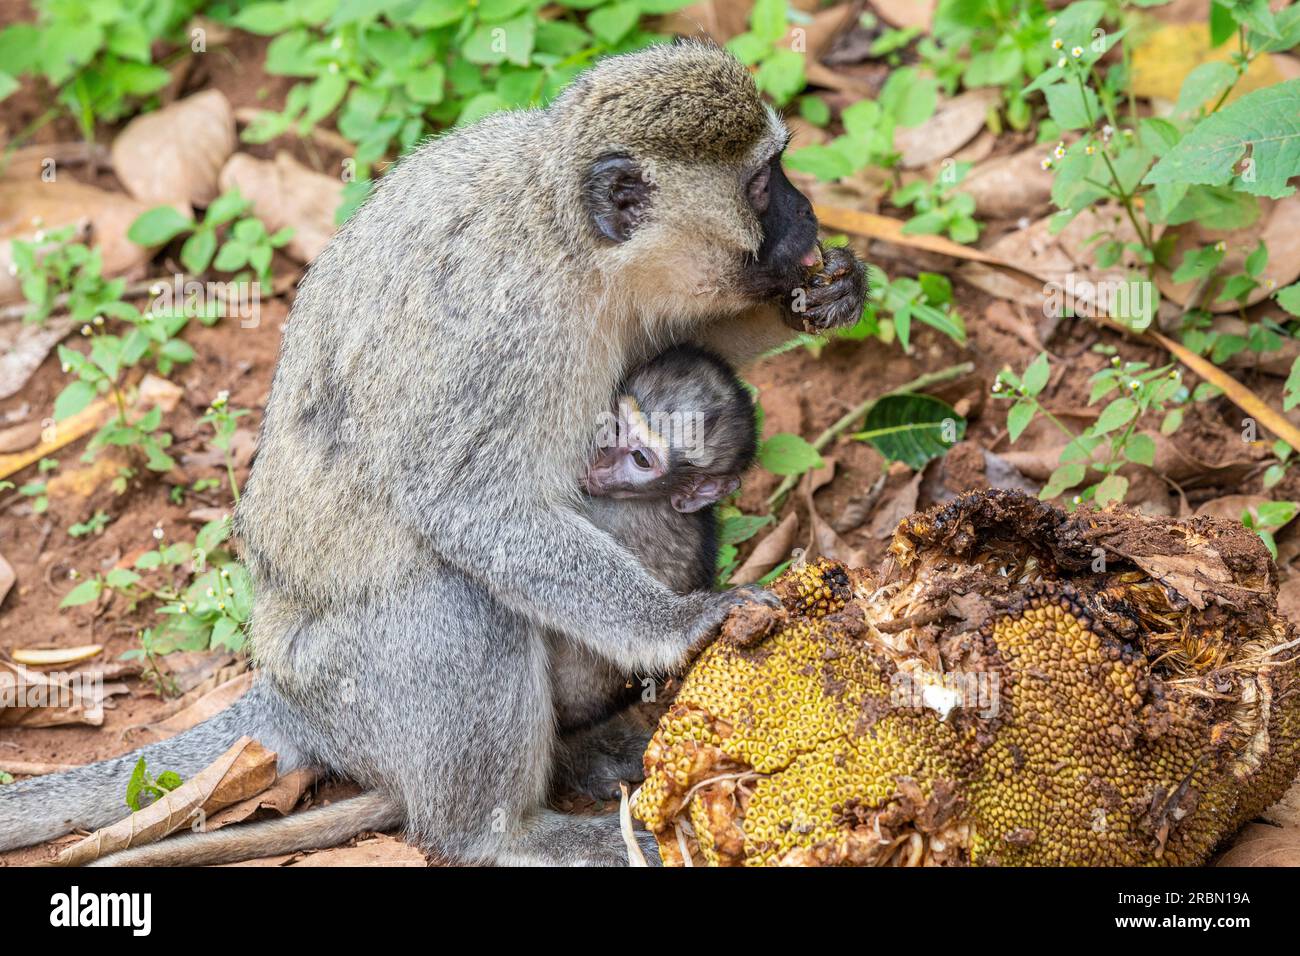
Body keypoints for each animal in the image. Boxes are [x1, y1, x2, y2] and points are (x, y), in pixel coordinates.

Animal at [0, 40, 866, 866]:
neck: (571, 240)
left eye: (780, 170)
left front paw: (824, 299)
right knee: (464, 601)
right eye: (763, 185)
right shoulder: (510, 327)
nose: (806, 215)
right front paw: (680, 623)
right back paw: (503, 836)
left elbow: (690, 350)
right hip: (359, 692)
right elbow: (467, 507)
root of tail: (283, 690)